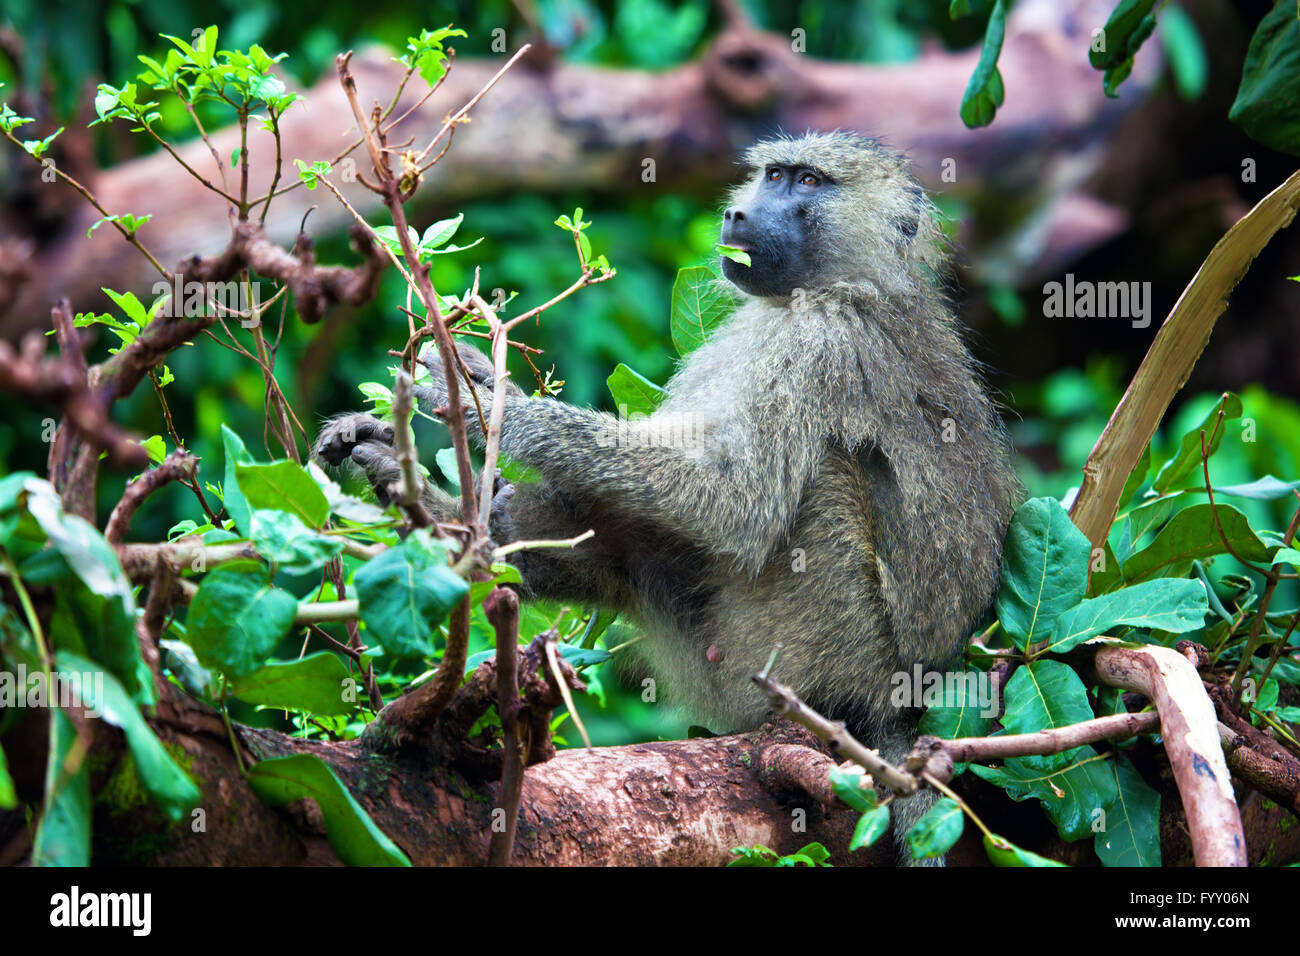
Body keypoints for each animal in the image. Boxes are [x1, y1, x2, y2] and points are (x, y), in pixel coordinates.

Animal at [315, 131, 1023, 863]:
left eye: (807, 181)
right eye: (772, 175)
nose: (738, 214)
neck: (839, 282)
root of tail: (900, 708)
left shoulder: (821, 341)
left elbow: (734, 502)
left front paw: (501, 409)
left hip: (811, 649)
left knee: (816, 481)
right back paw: (460, 522)